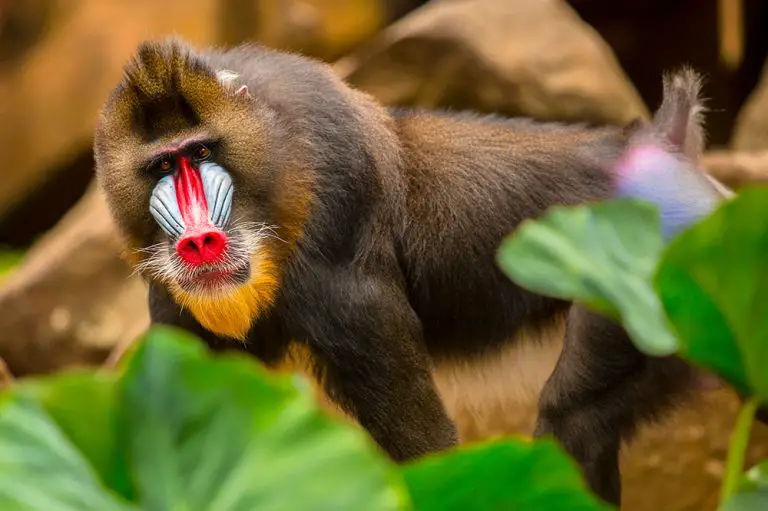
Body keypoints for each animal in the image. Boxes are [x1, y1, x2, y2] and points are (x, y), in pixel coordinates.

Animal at [93, 37, 732, 507]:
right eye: (162, 166)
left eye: (201, 154)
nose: (199, 240)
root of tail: (661, 148)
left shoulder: (344, 264)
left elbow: (425, 450)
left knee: (575, 419)